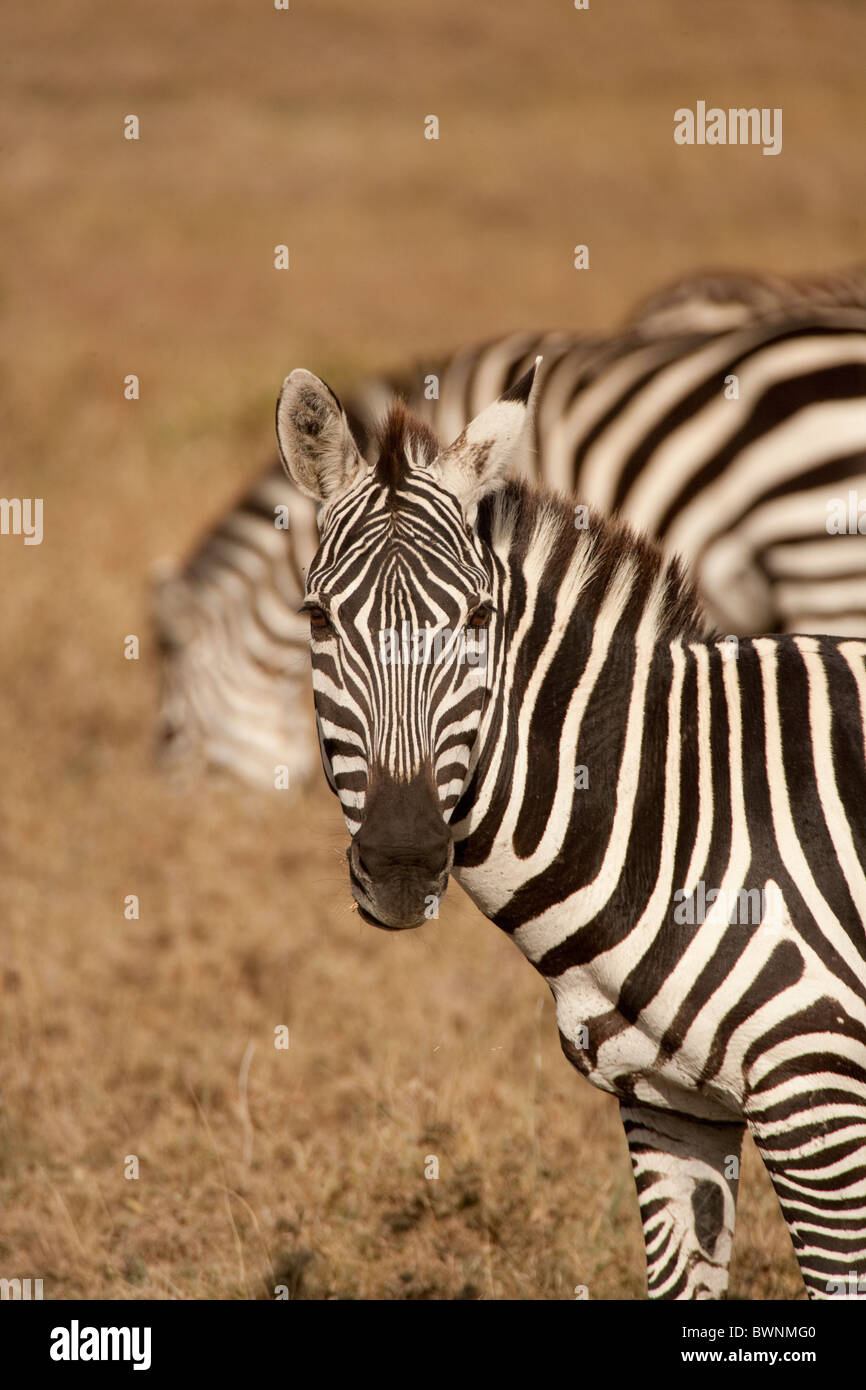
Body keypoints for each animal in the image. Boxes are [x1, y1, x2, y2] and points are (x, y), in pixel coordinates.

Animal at [275, 359, 866, 1300]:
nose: (402, 862)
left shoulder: (820, 1093)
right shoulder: (670, 1107)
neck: (677, 814)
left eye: (479, 619)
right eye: (320, 619)